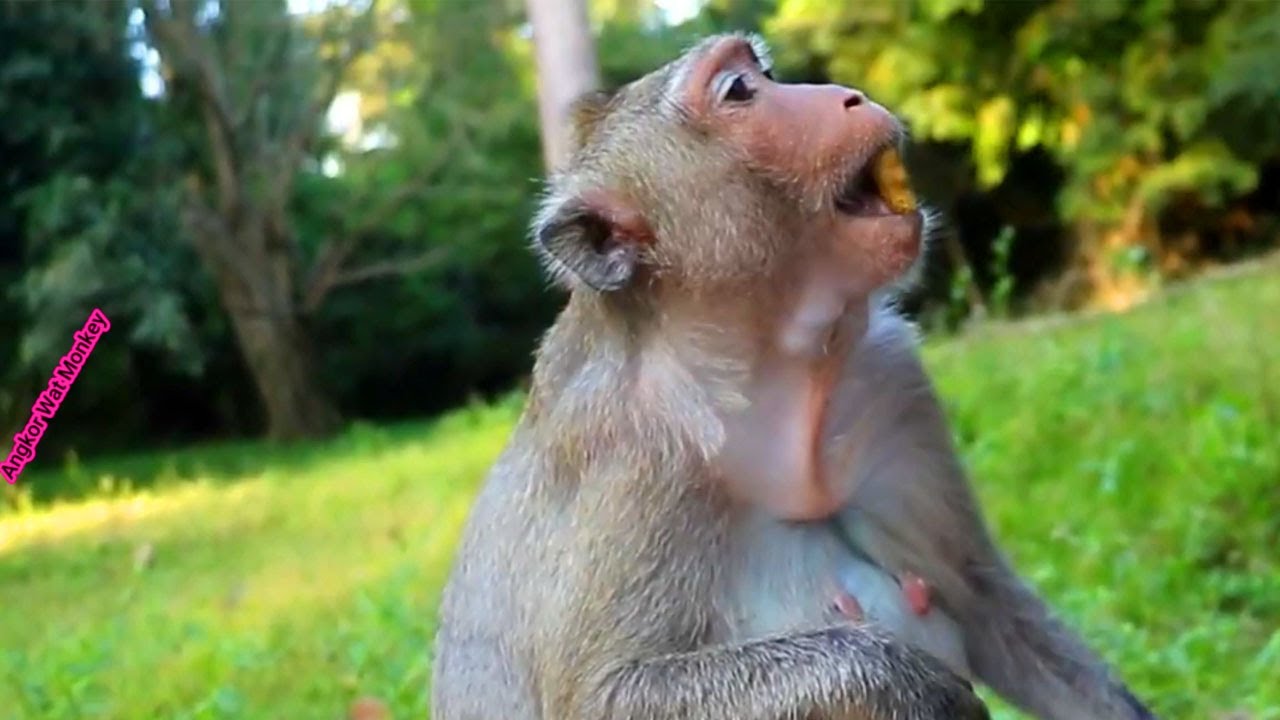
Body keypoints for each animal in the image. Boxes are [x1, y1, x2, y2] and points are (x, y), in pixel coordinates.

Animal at [430, 33, 1157, 720]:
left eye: (767, 74)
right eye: (738, 89)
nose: (846, 95)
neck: (757, 370)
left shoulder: (891, 380)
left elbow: (981, 595)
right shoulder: (629, 460)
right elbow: (601, 695)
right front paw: (902, 676)